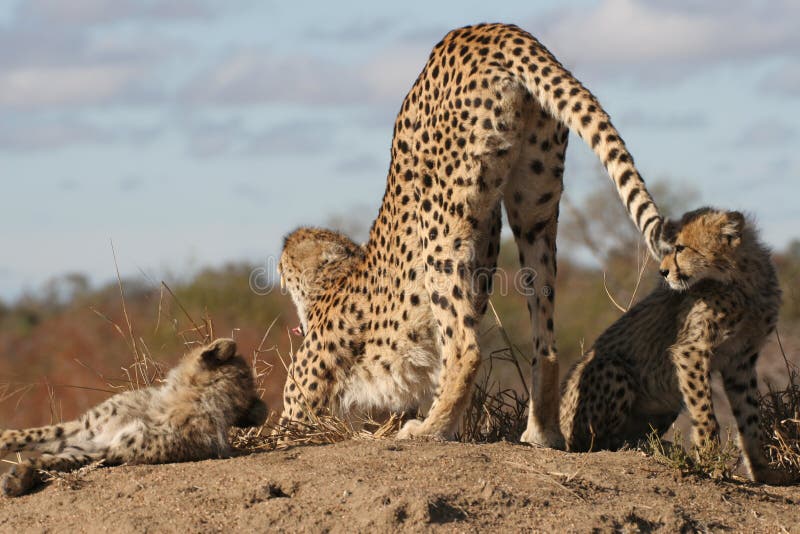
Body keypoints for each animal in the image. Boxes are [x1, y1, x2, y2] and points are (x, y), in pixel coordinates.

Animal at [1, 338, 267, 497]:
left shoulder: (104, 451)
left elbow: (46, 462)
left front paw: (18, 479)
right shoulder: (83, 429)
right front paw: (8, 446)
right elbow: (25, 435)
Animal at [277, 23, 670, 448]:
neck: (331, 282)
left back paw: (431, 429)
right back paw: (541, 433)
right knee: (544, 340)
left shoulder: (303, 395)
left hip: (441, 218)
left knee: (465, 348)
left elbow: (284, 430)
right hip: (533, 208)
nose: (280, 247)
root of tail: (493, 29)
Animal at [560, 208, 794, 485]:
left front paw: (761, 470)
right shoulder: (691, 351)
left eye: (681, 248)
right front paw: (710, 461)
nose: (662, 272)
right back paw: (652, 447)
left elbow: (750, 418)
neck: (739, 280)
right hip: (613, 369)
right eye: (671, 247)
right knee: (598, 442)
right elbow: (705, 413)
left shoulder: (741, 360)